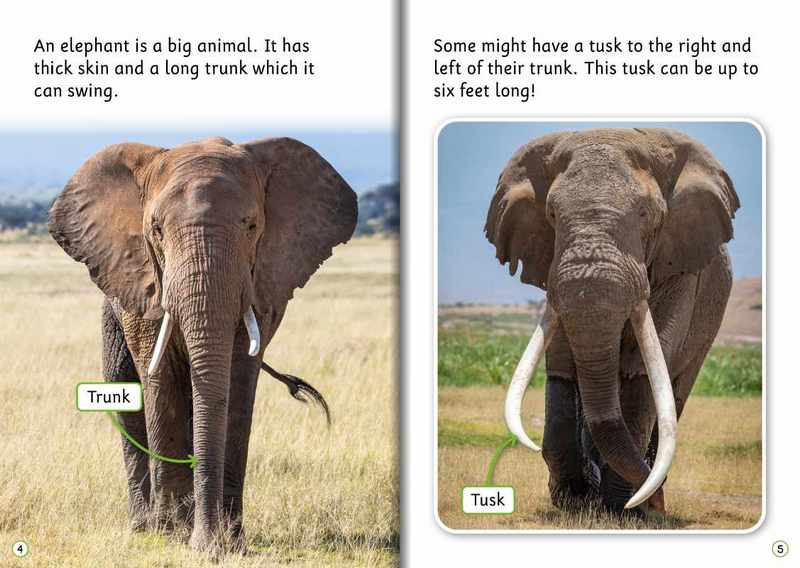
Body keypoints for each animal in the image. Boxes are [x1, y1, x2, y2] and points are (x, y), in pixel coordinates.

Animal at [49, 136, 357, 552]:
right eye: (156, 230)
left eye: (252, 226)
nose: (209, 545)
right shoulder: (144, 280)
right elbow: (159, 377)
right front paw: (173, 535)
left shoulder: (262, 280)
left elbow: (238, 380)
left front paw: (230, 541)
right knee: (124, 389)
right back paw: (144, 526)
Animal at [485, 128, 739, 516]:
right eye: (552, 214)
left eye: (646, 214)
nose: (654, 506)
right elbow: (562, 366)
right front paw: (574, 502)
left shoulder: (683, 270)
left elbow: (642, 371)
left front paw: (625, 510)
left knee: (673, 394)